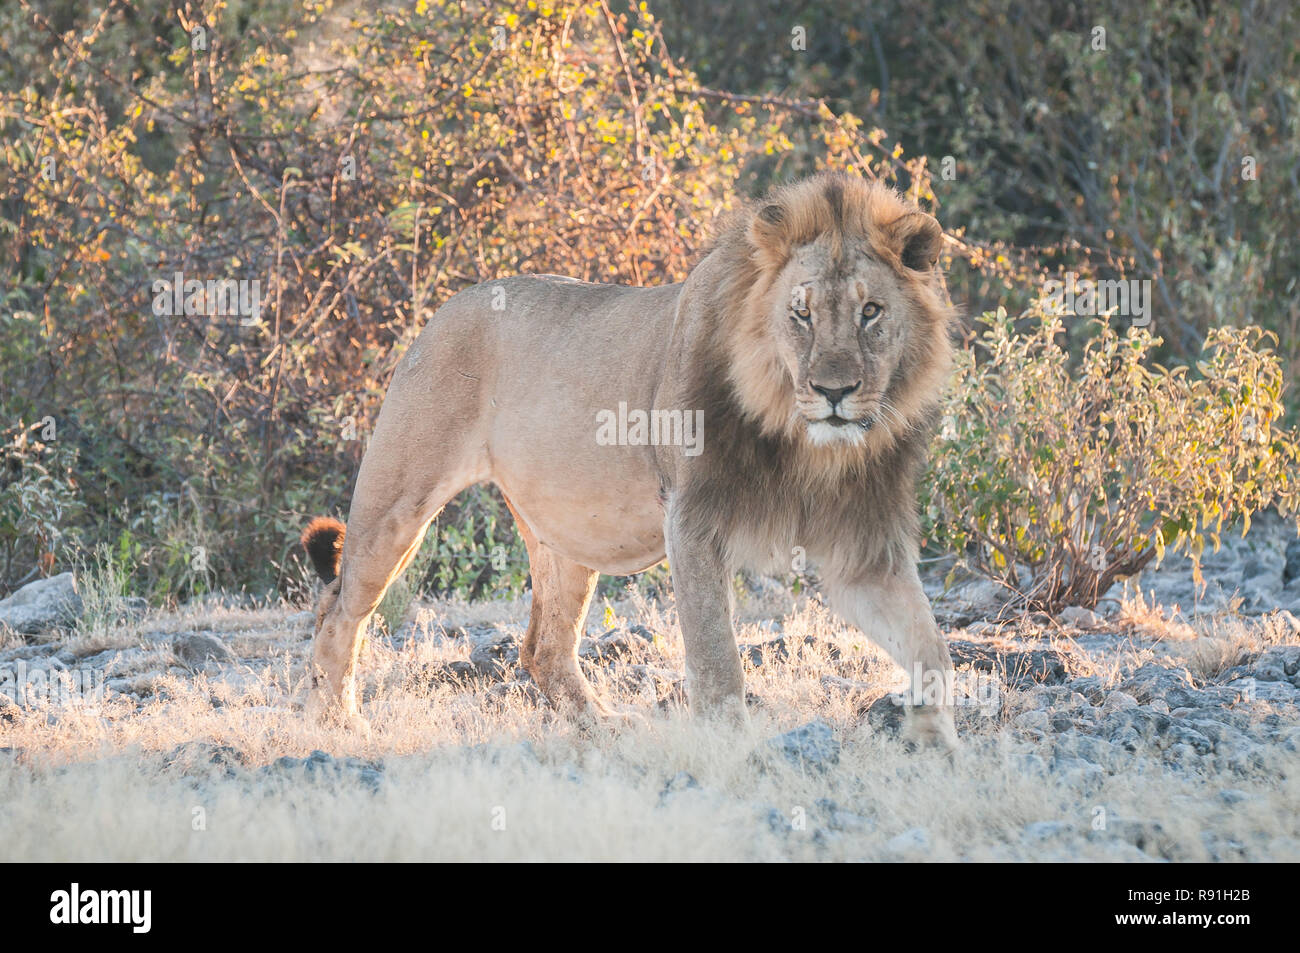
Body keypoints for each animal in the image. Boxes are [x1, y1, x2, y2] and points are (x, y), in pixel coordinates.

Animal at [302, 171, 959, 747]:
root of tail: (443, 307)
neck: (801, 440)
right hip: (397, 501)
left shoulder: (863, 547)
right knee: (338, 609)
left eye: (871, 312)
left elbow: (930, 647)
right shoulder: (692, 520)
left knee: (543, 648)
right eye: (801, 314)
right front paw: (733, 748)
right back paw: (340, 722)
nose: (834, 391)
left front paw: (937, 746)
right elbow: (717, 657)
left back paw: (602, 726)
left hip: (567, 532)